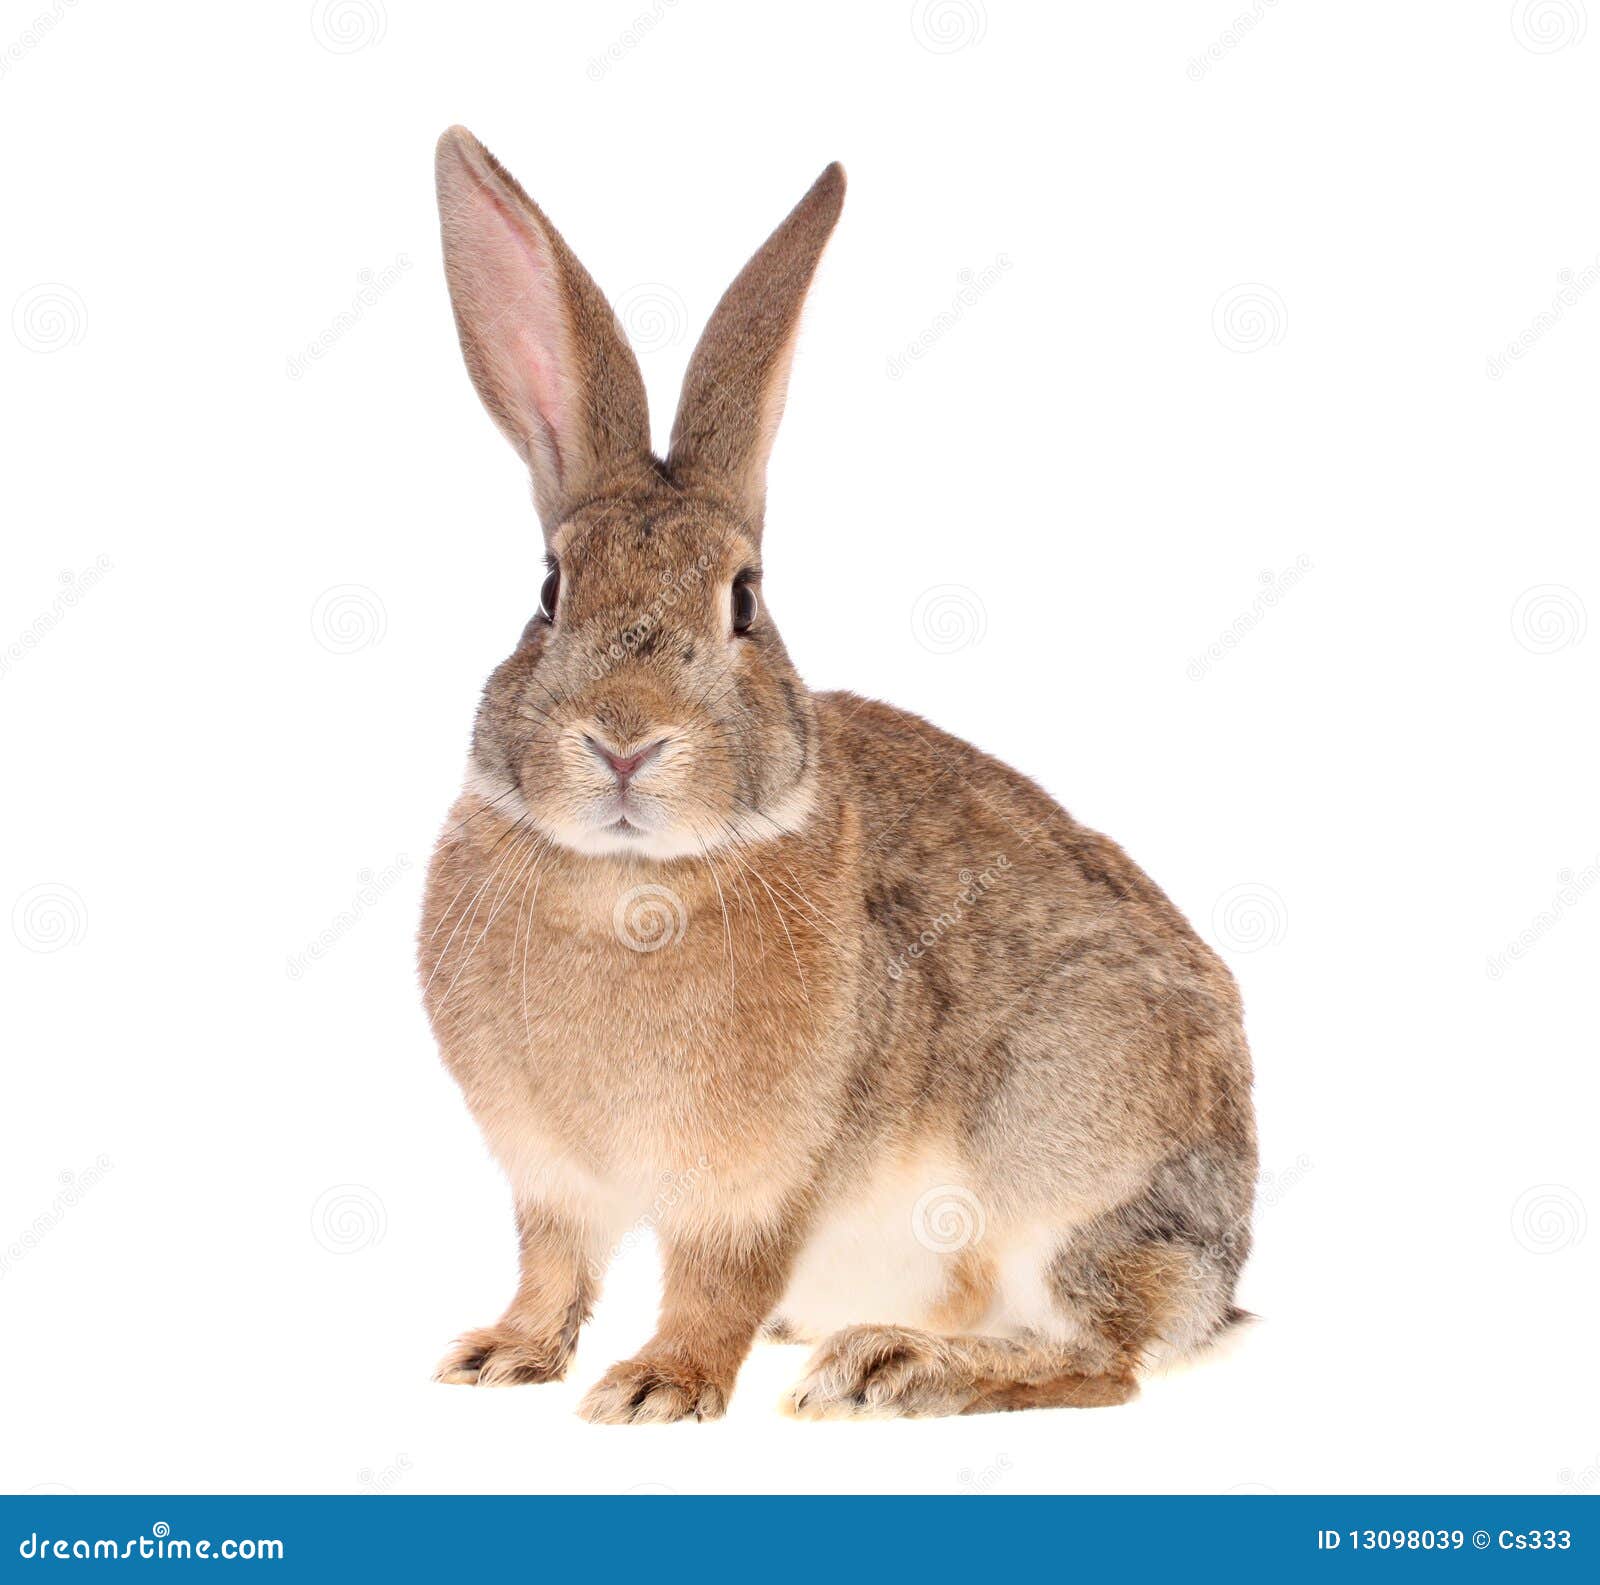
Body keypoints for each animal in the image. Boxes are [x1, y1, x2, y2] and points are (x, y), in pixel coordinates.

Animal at [419, 126, 1257, 1423]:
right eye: (551, 590)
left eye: (745, 600)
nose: (624, 739)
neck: (625, 884)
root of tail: (1216, 1283)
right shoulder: (553, 1181)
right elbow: (552, 1267)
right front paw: (502, 1355)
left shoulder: (765, 1178)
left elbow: (715, 1283)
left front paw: (656, 1387)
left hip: (1072, 1169)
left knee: (1102, 1356)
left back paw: (893, 1364)